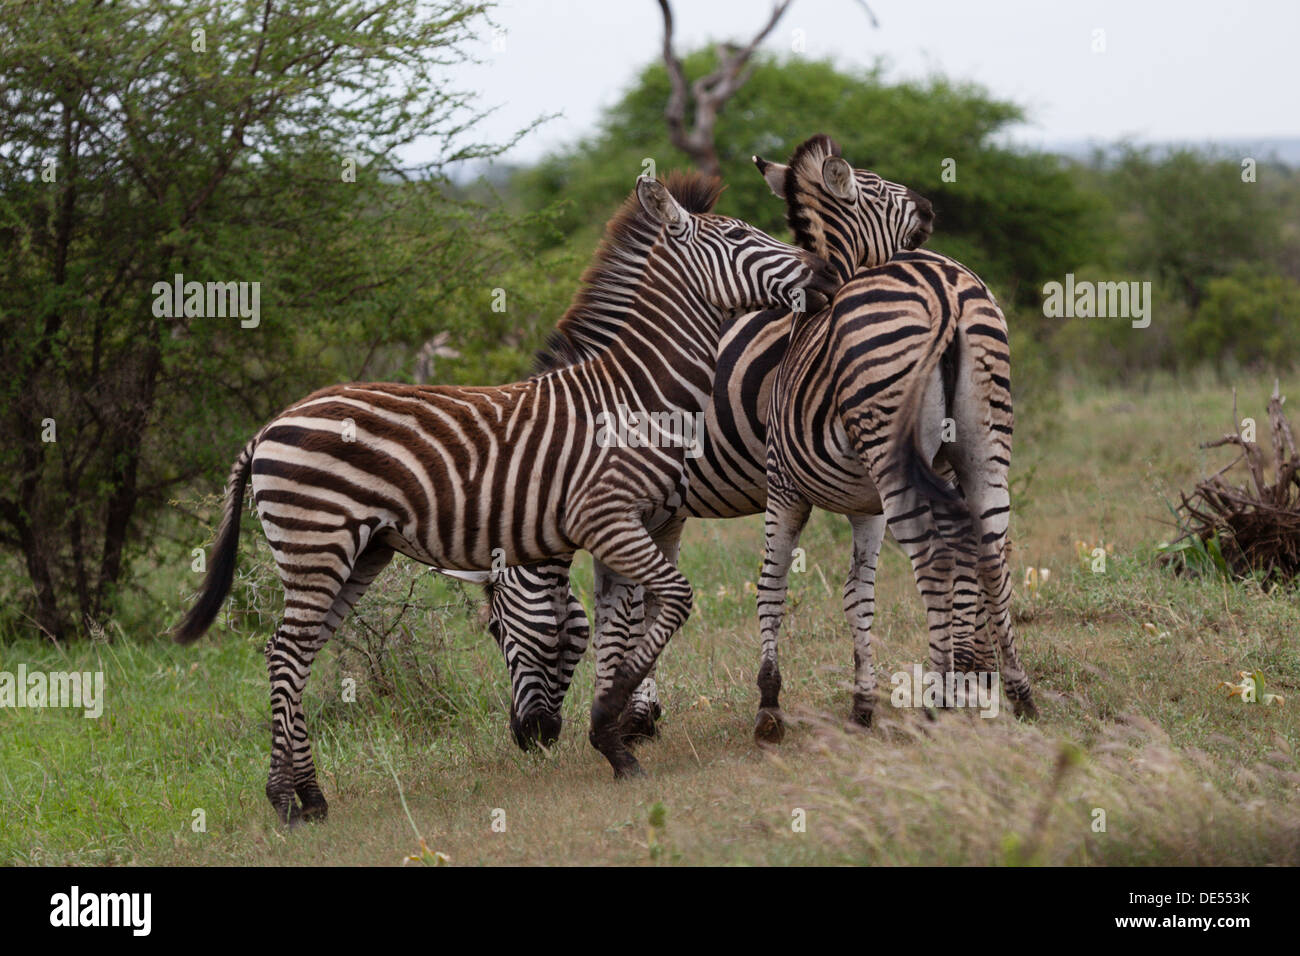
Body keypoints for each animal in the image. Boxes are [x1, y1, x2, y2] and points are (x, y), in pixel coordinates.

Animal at [172, 171, 838, 822]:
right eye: (740, 238)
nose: (830, 272)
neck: (639, 391)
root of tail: (268, 425)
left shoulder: (635, 522)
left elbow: (619, 624)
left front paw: (615, 740)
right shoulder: (611, 520)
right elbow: (669, 601)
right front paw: (619, 722)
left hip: (360, 552)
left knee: (296, 650)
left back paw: (308, 796)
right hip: (318, 542)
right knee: (285, 653)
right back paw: (287, 801)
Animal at [750, 134, 1038, 738]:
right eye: (879, 186)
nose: (930, 207)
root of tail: (942, 287)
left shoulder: (783, 485)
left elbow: (773, 584)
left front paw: (768, 705)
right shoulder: (870, 506)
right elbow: (857, 593)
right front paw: (864, 700)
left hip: (891, 453)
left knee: (933, 559)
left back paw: (936, 701)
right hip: (985, 442)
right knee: (992, 549)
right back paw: (1019, 691)